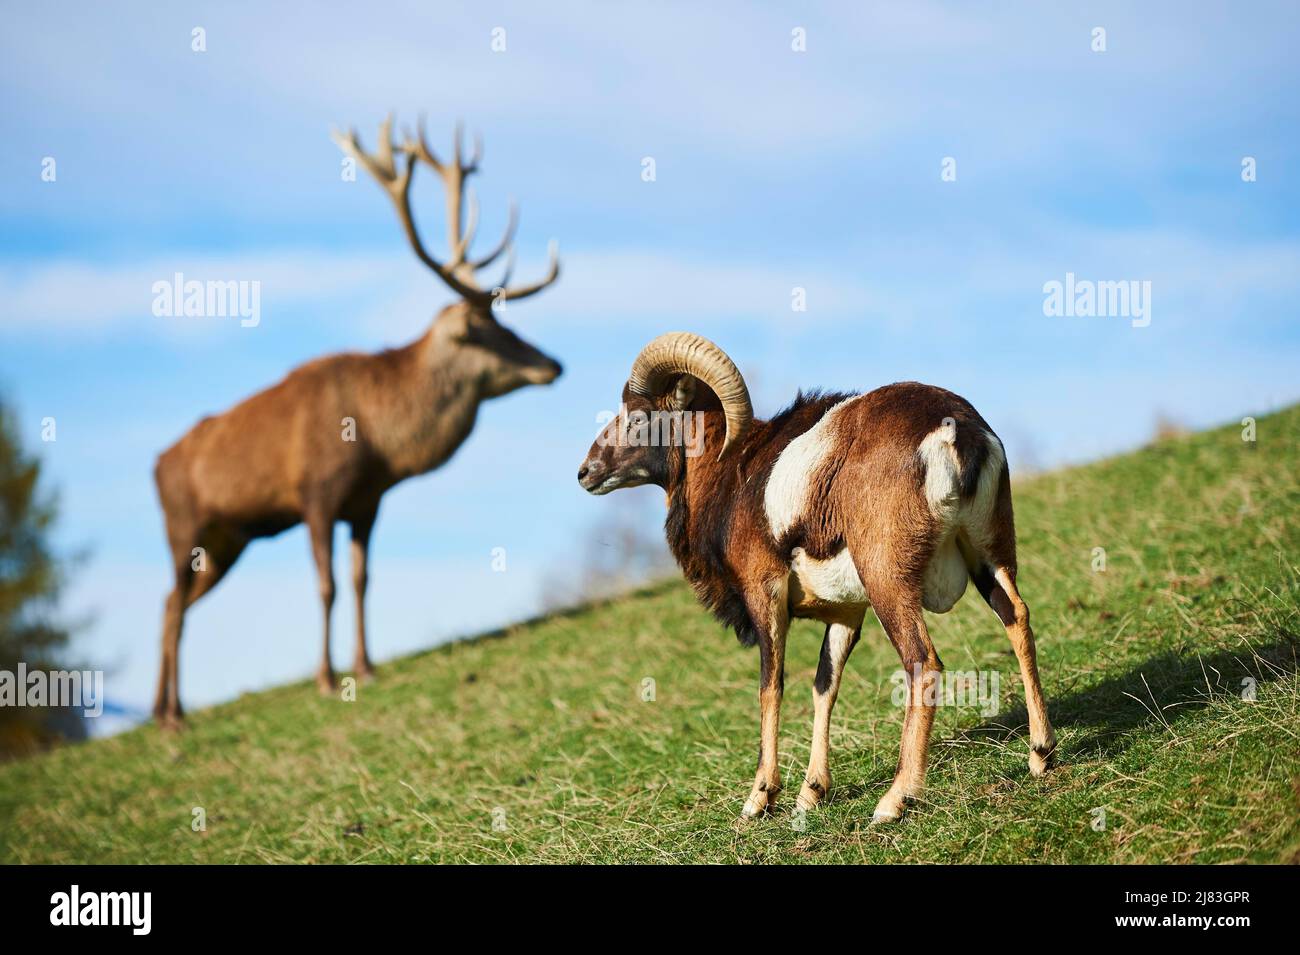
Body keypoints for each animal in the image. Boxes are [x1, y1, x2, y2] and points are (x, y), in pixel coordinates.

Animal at [151, 115, 562, 728]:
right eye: (485, 330)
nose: (553, 364)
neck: (378, 443)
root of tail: (156, 464)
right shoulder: (316, 494)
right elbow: (326, 586)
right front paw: (325, 679)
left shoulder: (367, 502)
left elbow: (363, 580)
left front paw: (365, 667)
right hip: (183, 527)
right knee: (176, 603)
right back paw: (175, 715)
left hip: (227, 542)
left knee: (168, 603)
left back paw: (160, 710)